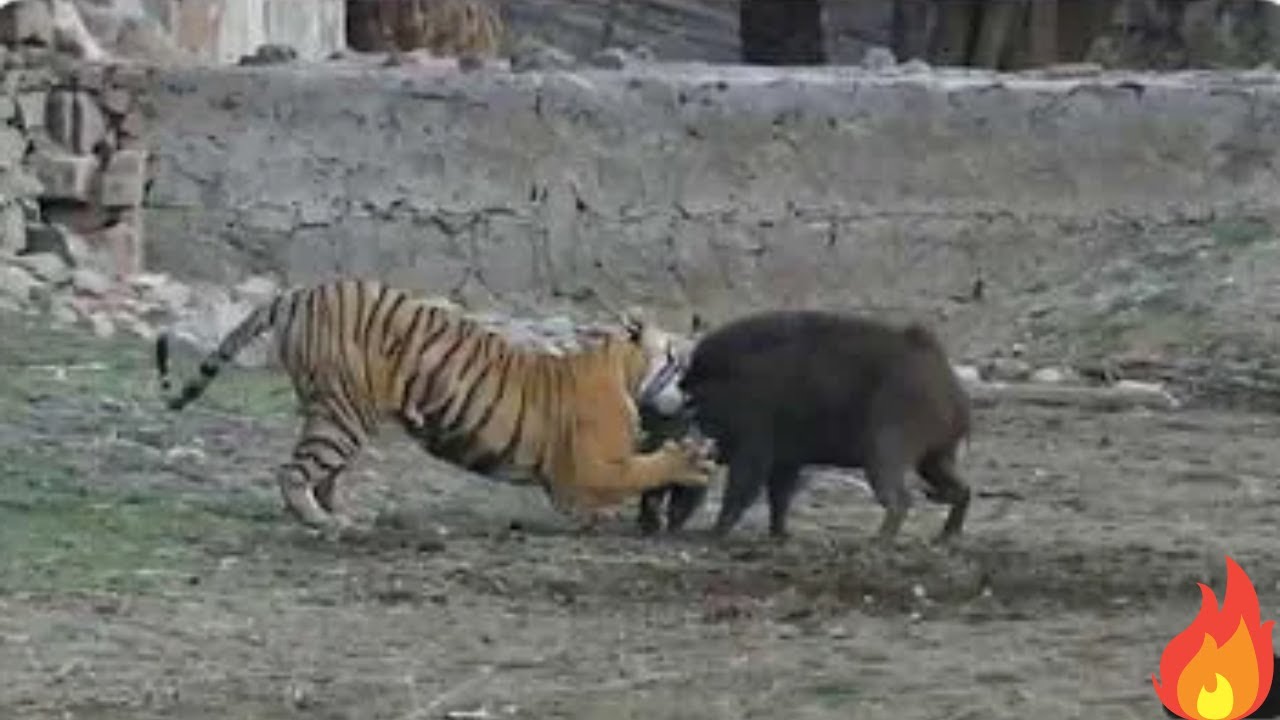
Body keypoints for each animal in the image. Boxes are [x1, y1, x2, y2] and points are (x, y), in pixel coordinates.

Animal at [154, 278, 714, 534]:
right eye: (677, 360)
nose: (693, 395)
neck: (625, 370)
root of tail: (297, 293)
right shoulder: (586, 474)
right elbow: (644, 469)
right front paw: (690, 461)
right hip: (343, 413)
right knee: (293, 471)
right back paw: (323, 522)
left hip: (336, 413)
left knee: (321, 472)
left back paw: (345, 513)